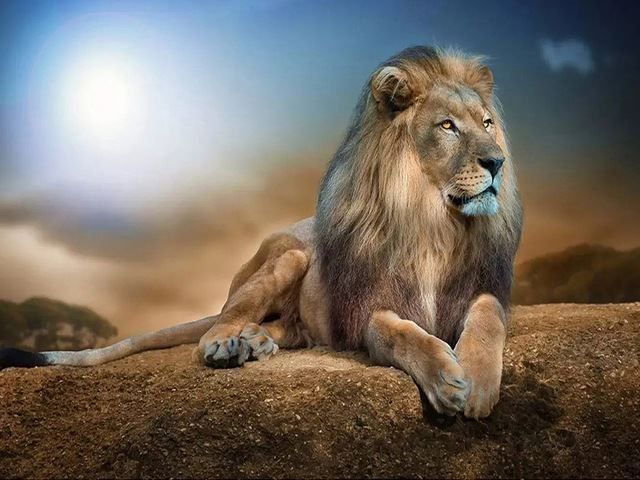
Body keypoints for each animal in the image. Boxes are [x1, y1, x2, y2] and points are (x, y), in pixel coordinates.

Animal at [0, 46, 522, 419]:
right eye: (447, 126)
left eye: (488, 123)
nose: (497, 161)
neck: (434, 223)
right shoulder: (367, 311)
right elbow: (401, 334)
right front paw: (446, 378)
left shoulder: (481, 287)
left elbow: (487, 315)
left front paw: (476, 381)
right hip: (288, 258)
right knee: (219, 322)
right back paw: (227, 345)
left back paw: (256, 342)